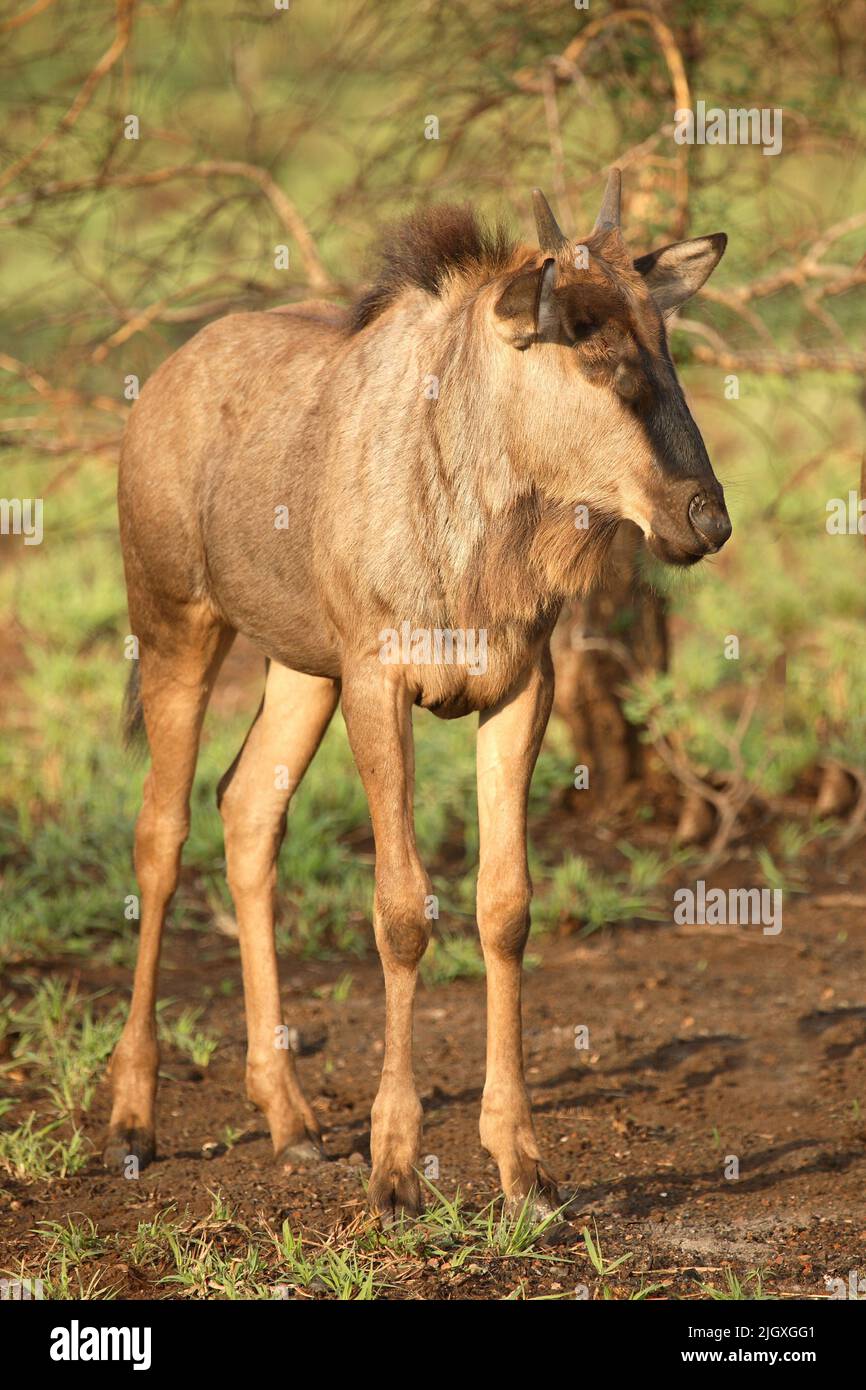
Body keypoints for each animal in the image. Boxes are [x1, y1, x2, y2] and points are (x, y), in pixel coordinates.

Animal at [105, 170, 731, 1218]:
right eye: (589, 349)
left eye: (664, 339)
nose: (706, 518)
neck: (480, 507)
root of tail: (164, 380)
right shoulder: (380, 682)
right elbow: (400, 914)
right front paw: (395, 1167)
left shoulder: (521, 689)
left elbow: (504, 910)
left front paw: (522, 1165)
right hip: (177, 632)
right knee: (161, 835)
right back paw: (132, 1118)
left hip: (298, 671)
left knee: (248, 809)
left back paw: (291, 1119)